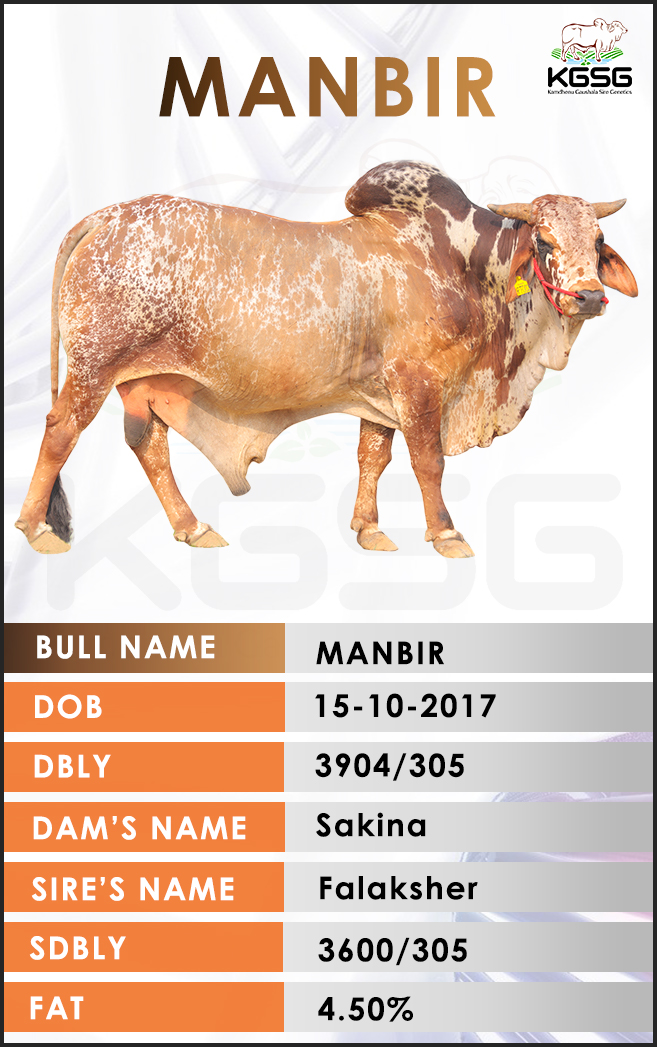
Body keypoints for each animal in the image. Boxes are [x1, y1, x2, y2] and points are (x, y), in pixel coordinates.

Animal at [15, 161, 638, 559]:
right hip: (93, 370)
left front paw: (368, 530)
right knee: (60, 431)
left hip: (141, 381)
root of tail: (104, 216)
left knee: (148, 445)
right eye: (545, 242)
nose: (589, 297)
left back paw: (193, 528)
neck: (464, 267)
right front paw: (446, 535)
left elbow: (372, 459)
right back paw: (35, 528)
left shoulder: (379, 397)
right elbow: (429, 462)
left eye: (598, 240)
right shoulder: (418, 384)